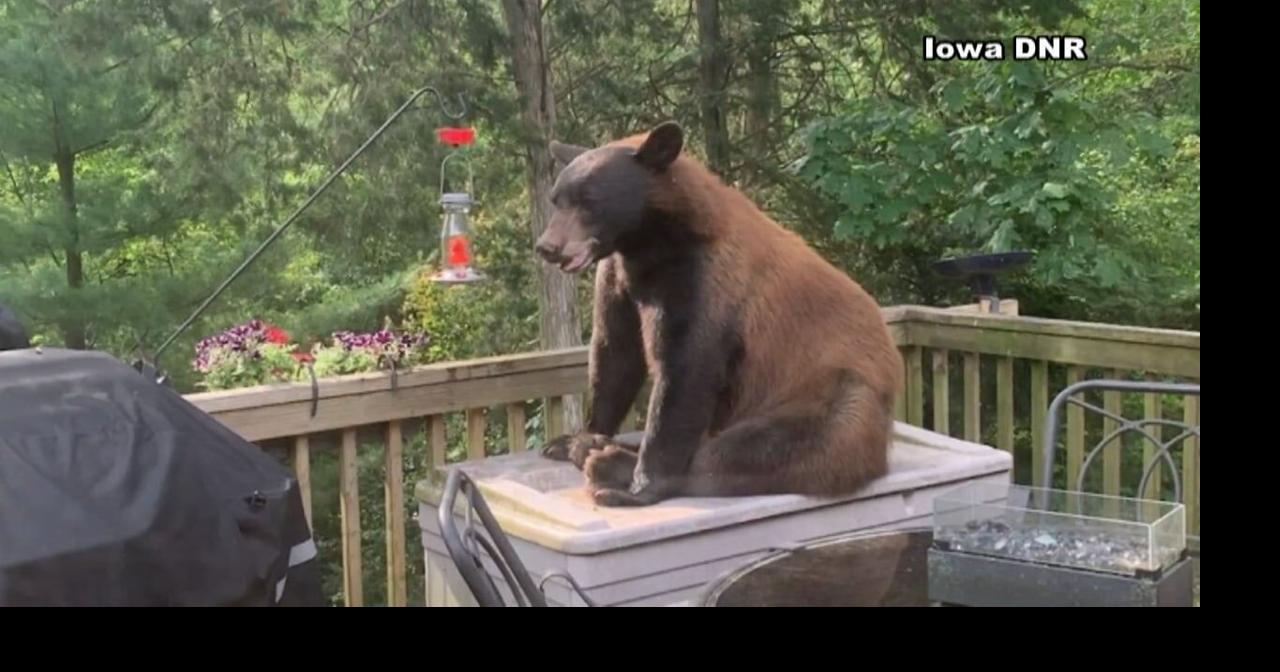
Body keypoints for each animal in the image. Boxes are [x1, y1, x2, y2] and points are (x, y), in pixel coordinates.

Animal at [535, 121, 903, 507]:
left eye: (589, 201)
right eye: (556, 199)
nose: (547, 247)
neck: (649, 246)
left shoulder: (704, 279)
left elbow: (684, 372)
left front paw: (640, 486)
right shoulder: (619, 277)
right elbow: (614, 353)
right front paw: (575, 436)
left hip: (834, 403)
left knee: (751, 450)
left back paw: (609, 463)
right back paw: (594, 448)